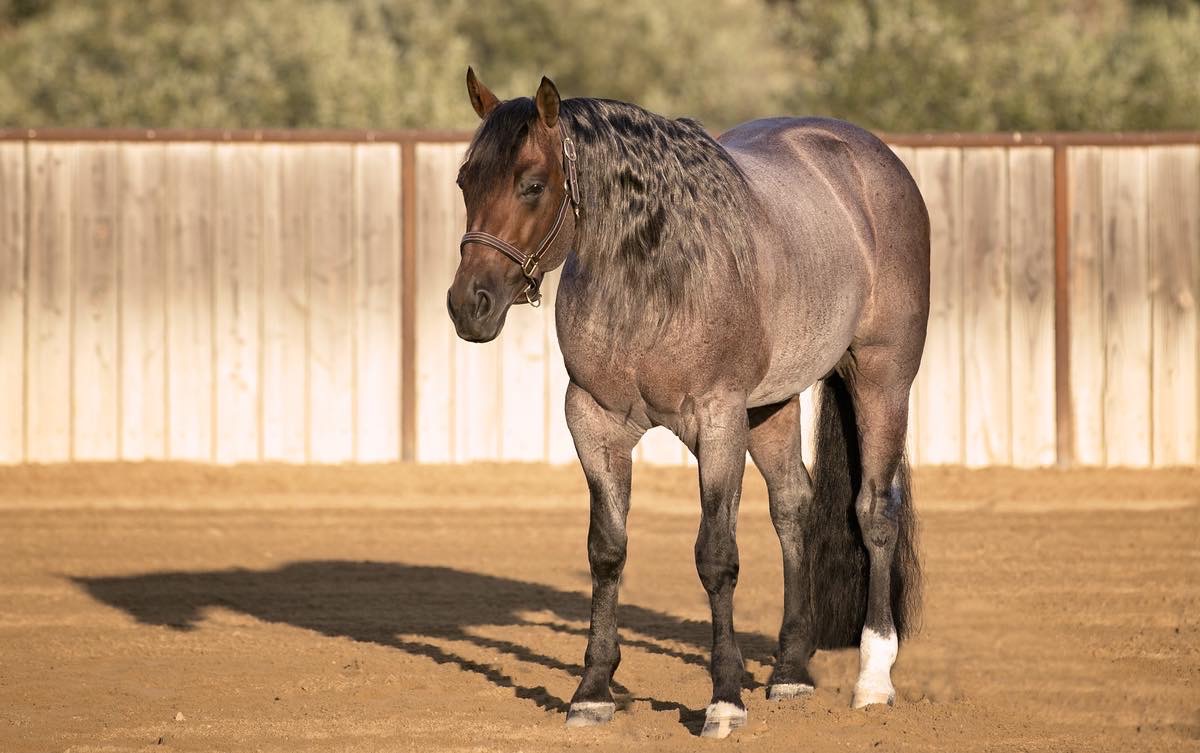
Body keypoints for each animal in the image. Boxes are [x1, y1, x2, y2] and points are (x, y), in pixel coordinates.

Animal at [446, 68, 928, 739]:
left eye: (532, 184)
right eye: (466, 180)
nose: (469, 305)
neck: (652, 280)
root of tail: (871, 157)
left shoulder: (717, 421)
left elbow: (716, 557)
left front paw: (724, 699)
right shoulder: (593, 421)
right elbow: (607, 550)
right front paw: (592, 690)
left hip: (882, 377)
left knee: (875, 512)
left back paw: (874, 679)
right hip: (771, 404)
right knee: (793, 507)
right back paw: (790, 671)